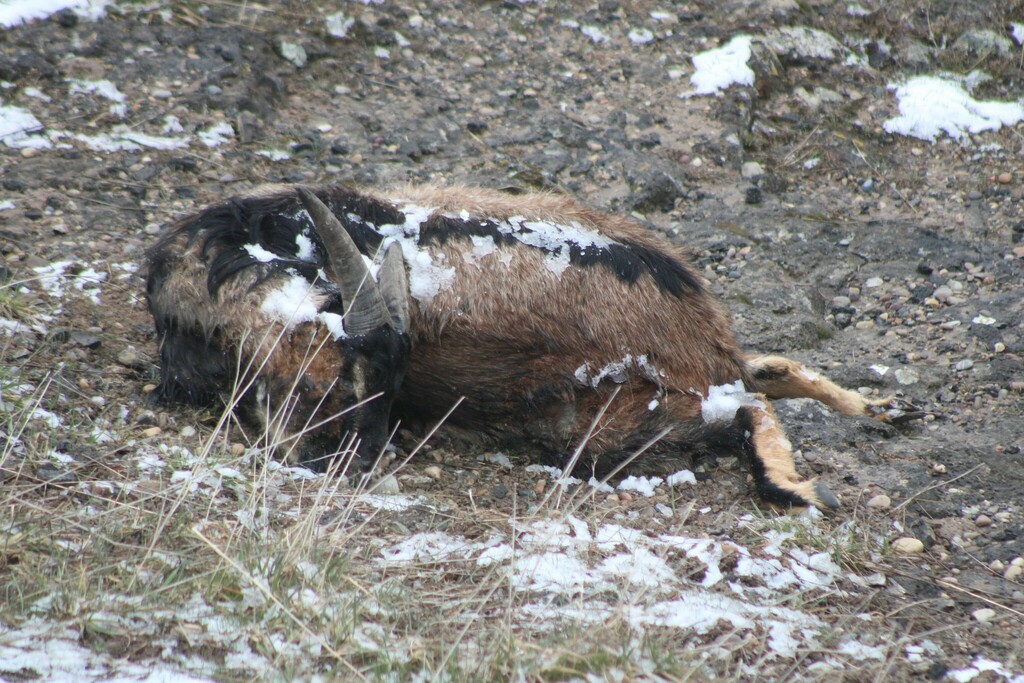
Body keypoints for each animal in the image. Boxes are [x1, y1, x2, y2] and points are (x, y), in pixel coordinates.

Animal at [147, 184, 915, 508]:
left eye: (333, 381)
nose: (351, 462)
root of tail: (702, 323)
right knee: (765, 371)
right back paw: (882, 408)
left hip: (608, 417)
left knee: (745, 406)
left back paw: (793, 485)